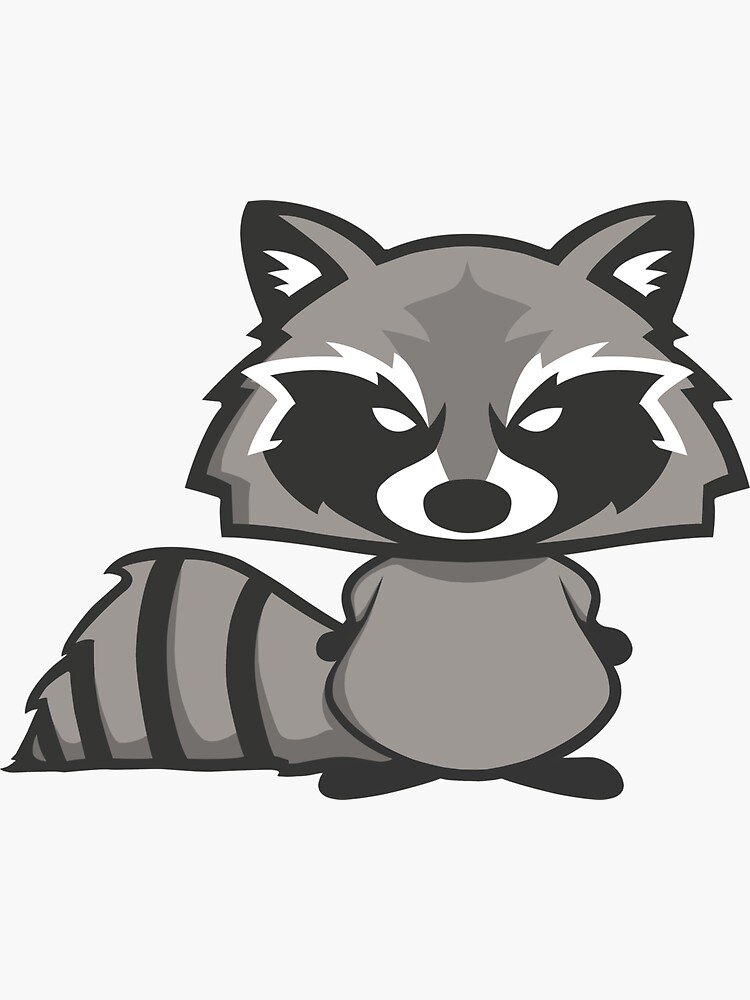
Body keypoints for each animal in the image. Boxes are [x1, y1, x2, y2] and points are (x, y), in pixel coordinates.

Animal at [8, 200, 745, 799]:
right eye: (390, 415)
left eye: (544, 415)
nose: (468, 506)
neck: (470, 565)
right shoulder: (375, 579)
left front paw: (613, 641)